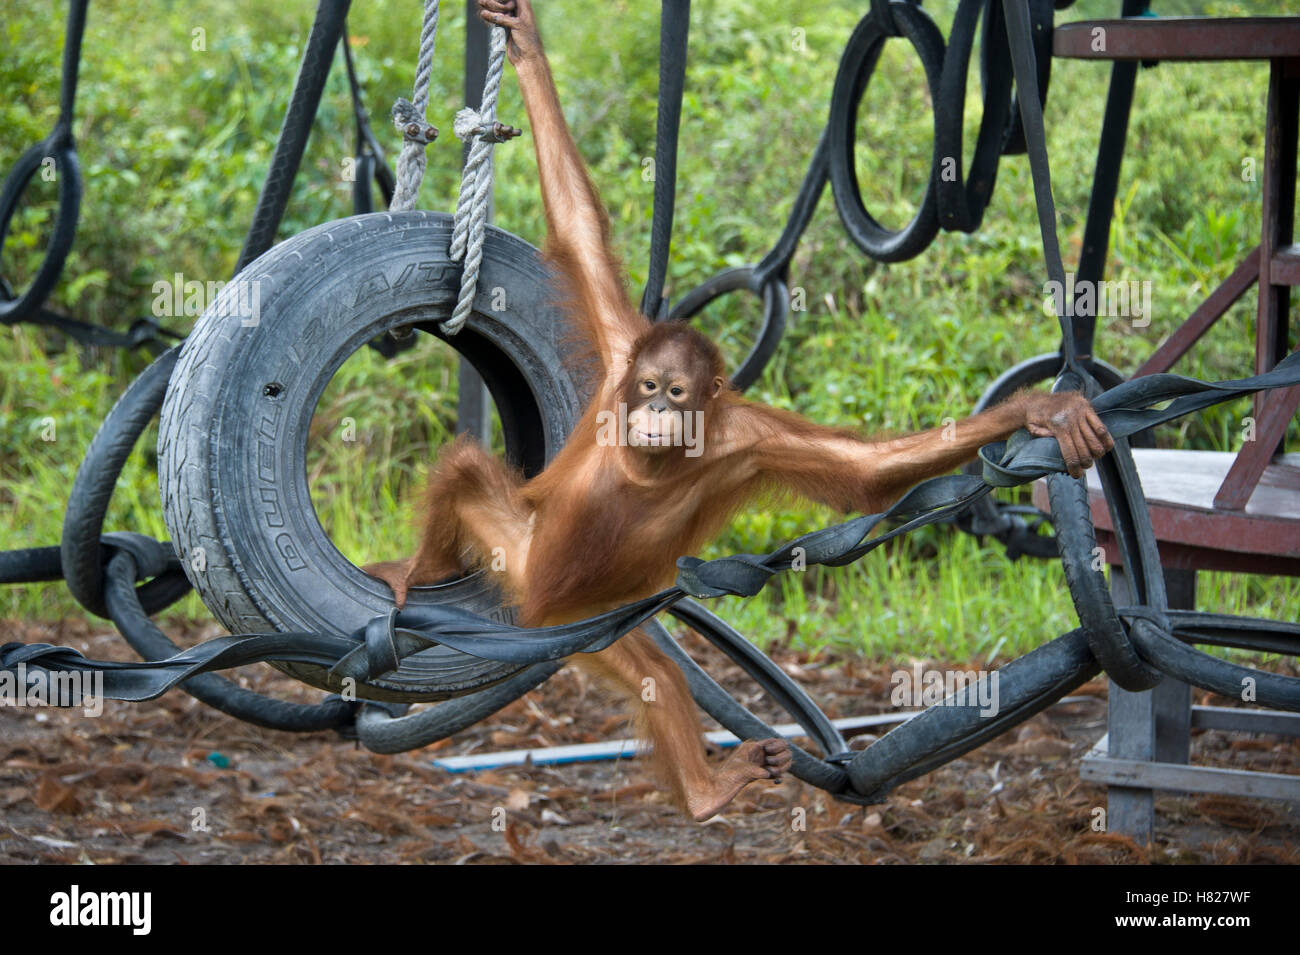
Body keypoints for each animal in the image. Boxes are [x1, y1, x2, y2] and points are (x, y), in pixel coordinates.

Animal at [365, 0, 1114, 822]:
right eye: (650, 388)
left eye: (678, 395)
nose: (655, 414)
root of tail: (533, 607)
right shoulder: (623, 350)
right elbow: (579, 230)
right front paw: (525, 45)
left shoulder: (750, 438)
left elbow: (862, 473)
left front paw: (1040, 411)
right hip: (523, 559)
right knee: (468, 473)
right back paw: (412, 579)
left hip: (582, 630)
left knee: (655, 673)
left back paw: (704, 794)